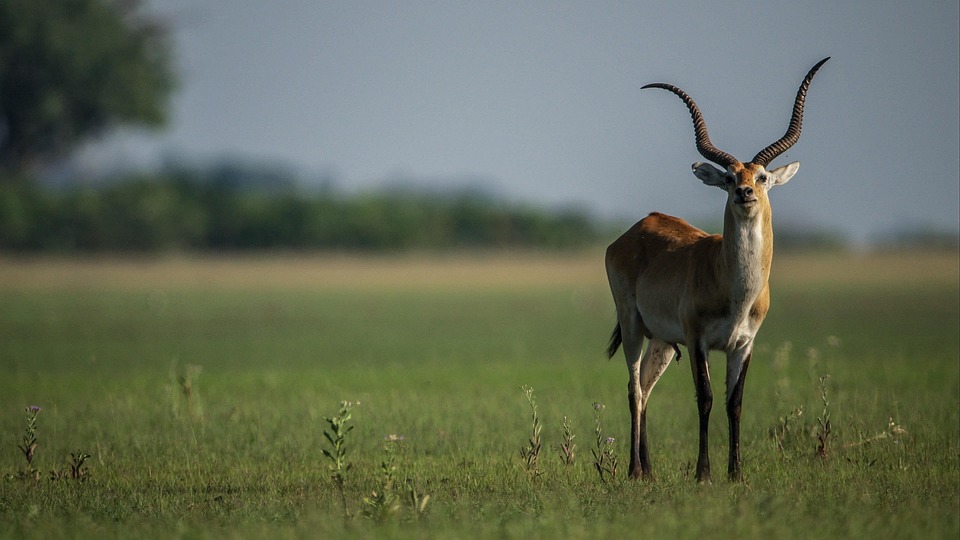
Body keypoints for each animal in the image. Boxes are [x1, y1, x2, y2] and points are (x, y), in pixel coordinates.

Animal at [605, 58, 829, 483]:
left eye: (762, 176)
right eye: (729, 177)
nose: (745, 193)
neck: (734, 288)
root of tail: (636, 228)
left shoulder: (743, 344)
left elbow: (735, 402)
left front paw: (736, 473)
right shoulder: (698, 341)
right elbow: (706, 399)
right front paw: (703, 474)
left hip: (662, 341)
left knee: (646, 389)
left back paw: (650, 471)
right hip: (633, 327)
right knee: (633, 390)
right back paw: (634, 471)